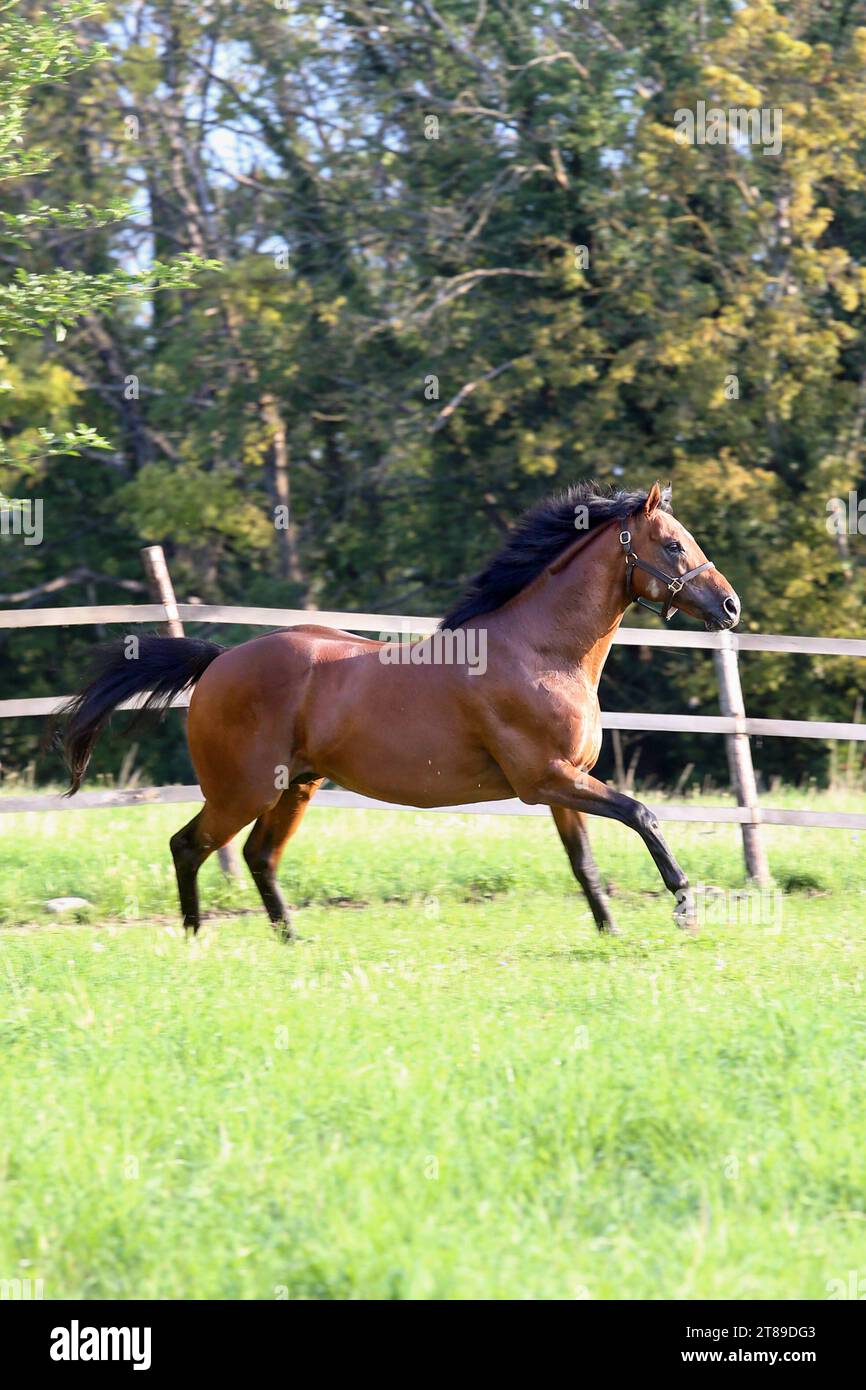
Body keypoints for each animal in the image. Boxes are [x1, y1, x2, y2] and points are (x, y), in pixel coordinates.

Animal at [61, 481, 740, 937]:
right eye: (674, 546)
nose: (730, 607)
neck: (540, 652)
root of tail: (221, 661)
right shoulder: (547, 778)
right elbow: (642, 814)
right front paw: (685, 904)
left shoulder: (562, 784)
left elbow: (585, 864)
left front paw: (610, 933)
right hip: (242, 789)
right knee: (189, 845)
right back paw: (196, 936)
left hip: (295, 786)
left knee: (258, 856)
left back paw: (293, 940)